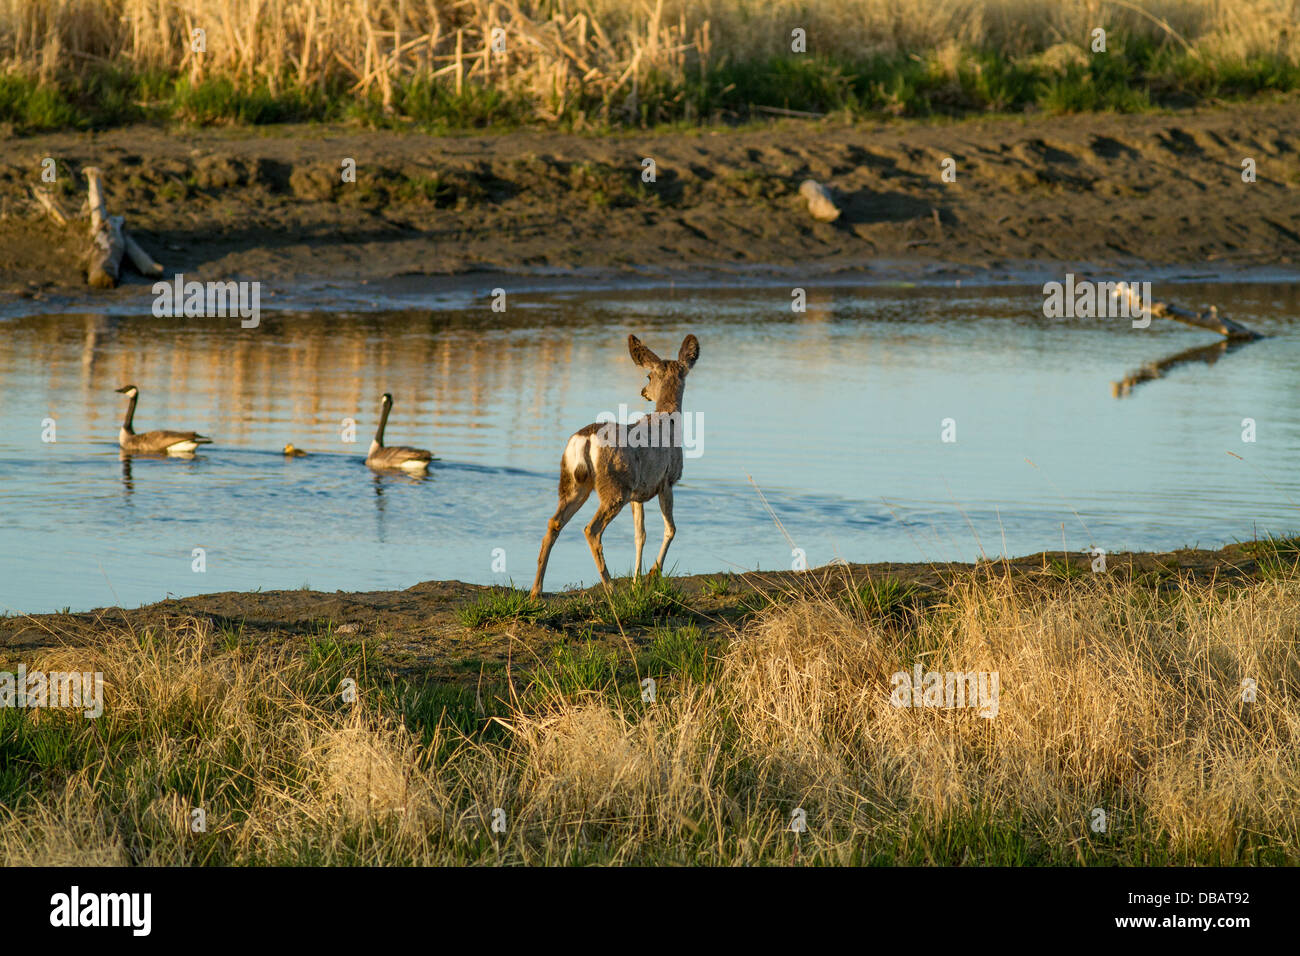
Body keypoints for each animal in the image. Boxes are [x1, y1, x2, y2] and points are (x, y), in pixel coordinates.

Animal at [530, 333, 700, 598]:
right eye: (649, 375)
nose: (643, 391)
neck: (669, 420)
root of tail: (585, 439)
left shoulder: (638, 493)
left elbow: (640, 535)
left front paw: (636, 582)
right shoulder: (666, 481)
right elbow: (670, 529)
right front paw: (653, 573)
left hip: (574, 483)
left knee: (554, 522)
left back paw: (536, 590)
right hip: (615, 486)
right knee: (591, 529)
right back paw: (610, 588)